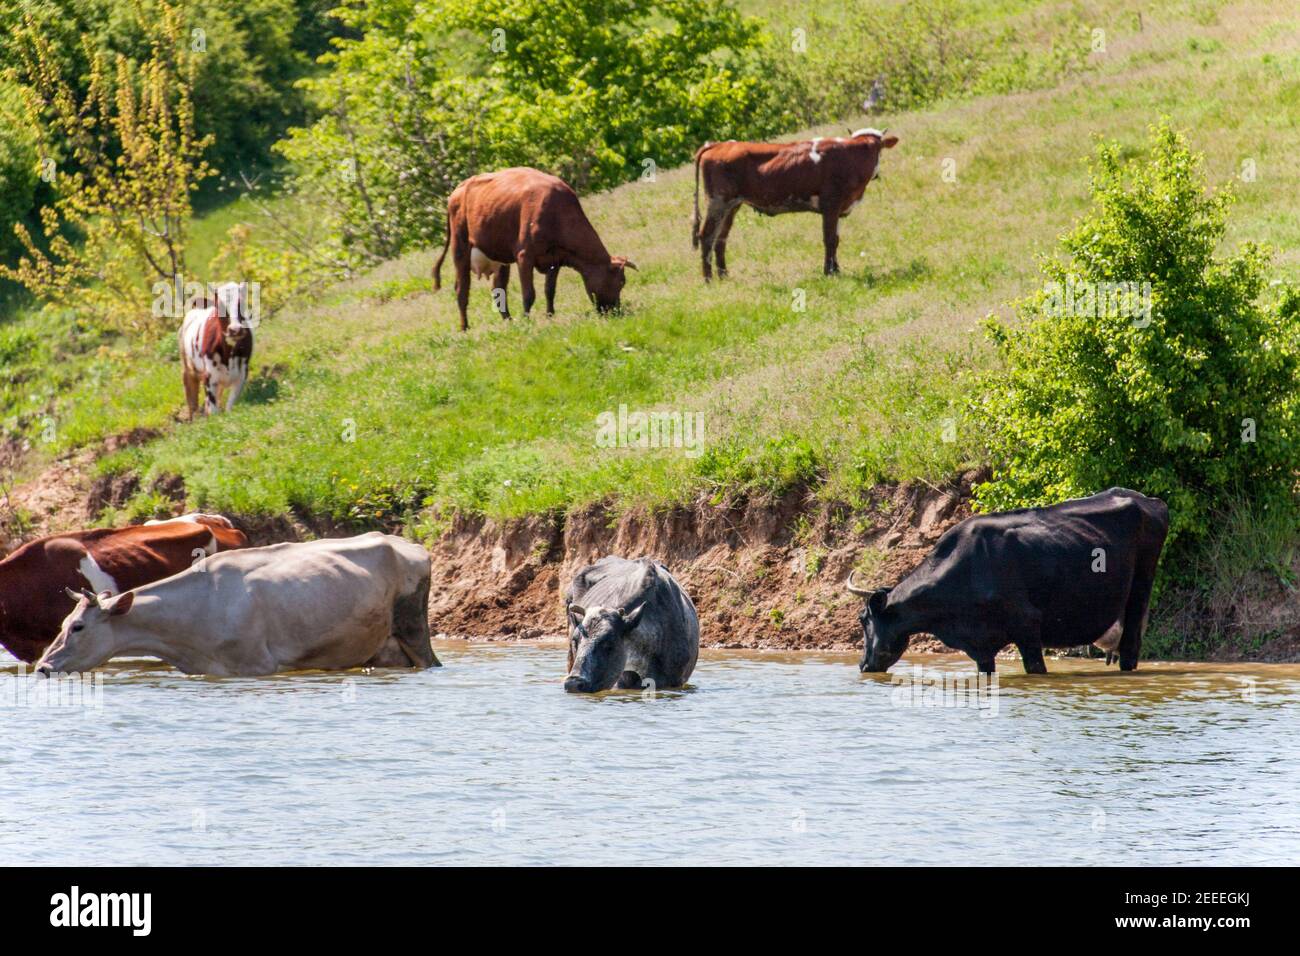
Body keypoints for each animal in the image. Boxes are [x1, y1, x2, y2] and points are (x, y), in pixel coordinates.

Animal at [34, 533, 438, 677]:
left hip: (415, 632)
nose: (42, 667)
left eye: (78, 627)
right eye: (61, 625)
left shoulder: (255, 665)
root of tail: (406, 542)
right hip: (382, 647)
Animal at [180, 281, 254, 418]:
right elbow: (213, 411)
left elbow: (230, 406)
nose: (235, 329)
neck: (228, 355)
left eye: (241, 303)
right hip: (188, 368)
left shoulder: (242, 375)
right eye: (219, 306)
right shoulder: (209, 377)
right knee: (191, 396)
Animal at [431, 167, 636, 331]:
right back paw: (465, 327)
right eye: (621, 282)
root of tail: (459, 189)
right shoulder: (525, 256)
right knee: (462, 289)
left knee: (498, 288)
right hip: (461, 247)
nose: (615, 311)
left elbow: (549, 290)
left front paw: (550, 315)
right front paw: (527, 320)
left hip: (500, 257)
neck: (557, 214)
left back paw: (509, 321)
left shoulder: (555, 258)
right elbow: (529, 293)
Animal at [692, 128, 898, 280]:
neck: (852, 157)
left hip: (732, 205)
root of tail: (720, 144)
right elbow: (829, 239)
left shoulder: (839, 208)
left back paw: (724, 276)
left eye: (878, 147)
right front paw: (829, 272)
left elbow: (837, 240)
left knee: (721, 238)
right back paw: (708, 279)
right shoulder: (831, 204)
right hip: (718, 202)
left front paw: (837, 269)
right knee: (707, 236)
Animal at [846, 488, 1169, 675]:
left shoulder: (1027, 623)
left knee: (1130, 644)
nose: (863, 665)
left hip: (1141, 585)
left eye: (864, 620)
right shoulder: (980, 644)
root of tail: (1149, 501)